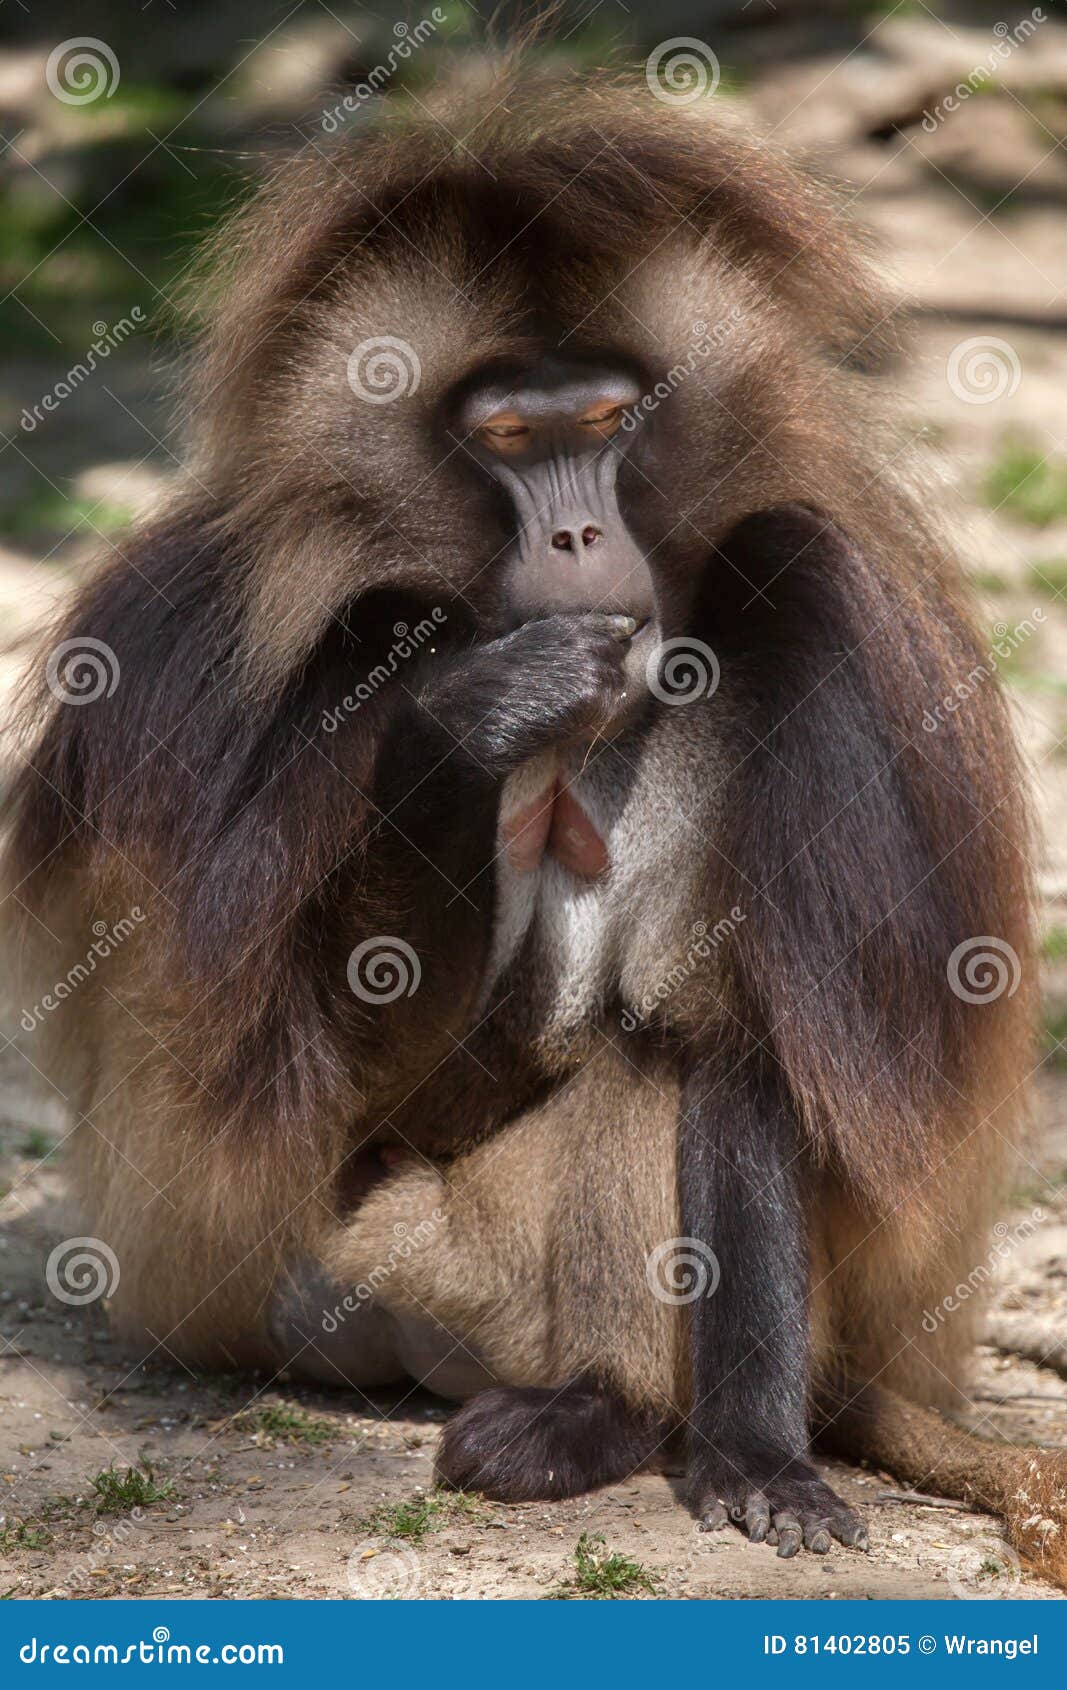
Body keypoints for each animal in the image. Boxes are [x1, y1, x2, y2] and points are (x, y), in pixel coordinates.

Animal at [4, 63, 1061, 1578]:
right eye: (507, 437)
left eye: (608, 420)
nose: (572, 541)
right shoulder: (182, 652)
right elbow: (318, 1073)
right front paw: (465, 721)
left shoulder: (825, 602)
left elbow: (741, 1040)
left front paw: (753, 1456)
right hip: (268, 1287)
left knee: (659, 1057)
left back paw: (599, 1414)